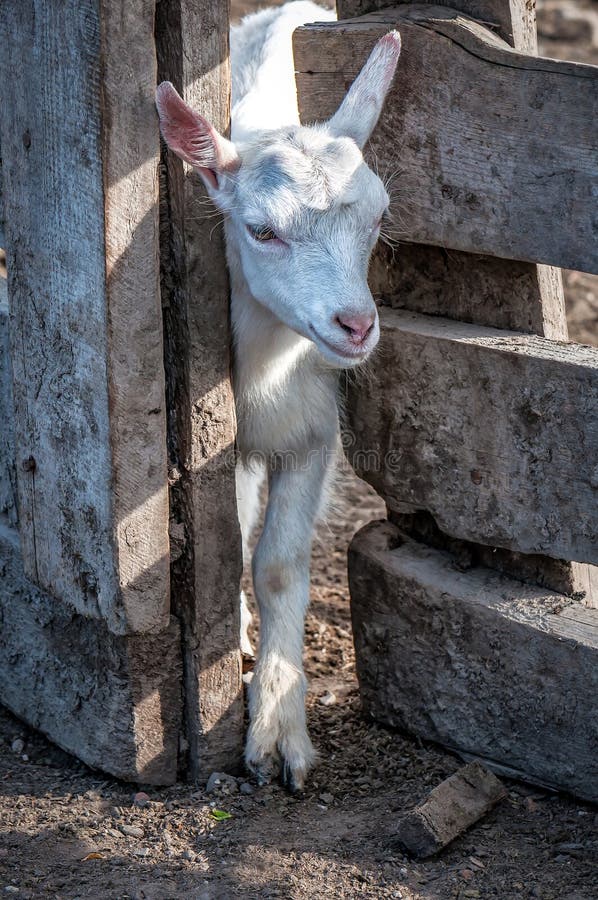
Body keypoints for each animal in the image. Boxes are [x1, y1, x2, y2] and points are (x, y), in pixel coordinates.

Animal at [156, 0, 401, 792]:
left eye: (379, 217)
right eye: (261, 230)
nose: (355, 325)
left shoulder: (315, 434)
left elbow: (280, 565)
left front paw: (278, 732)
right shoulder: (216, 444)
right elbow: (225, 540)